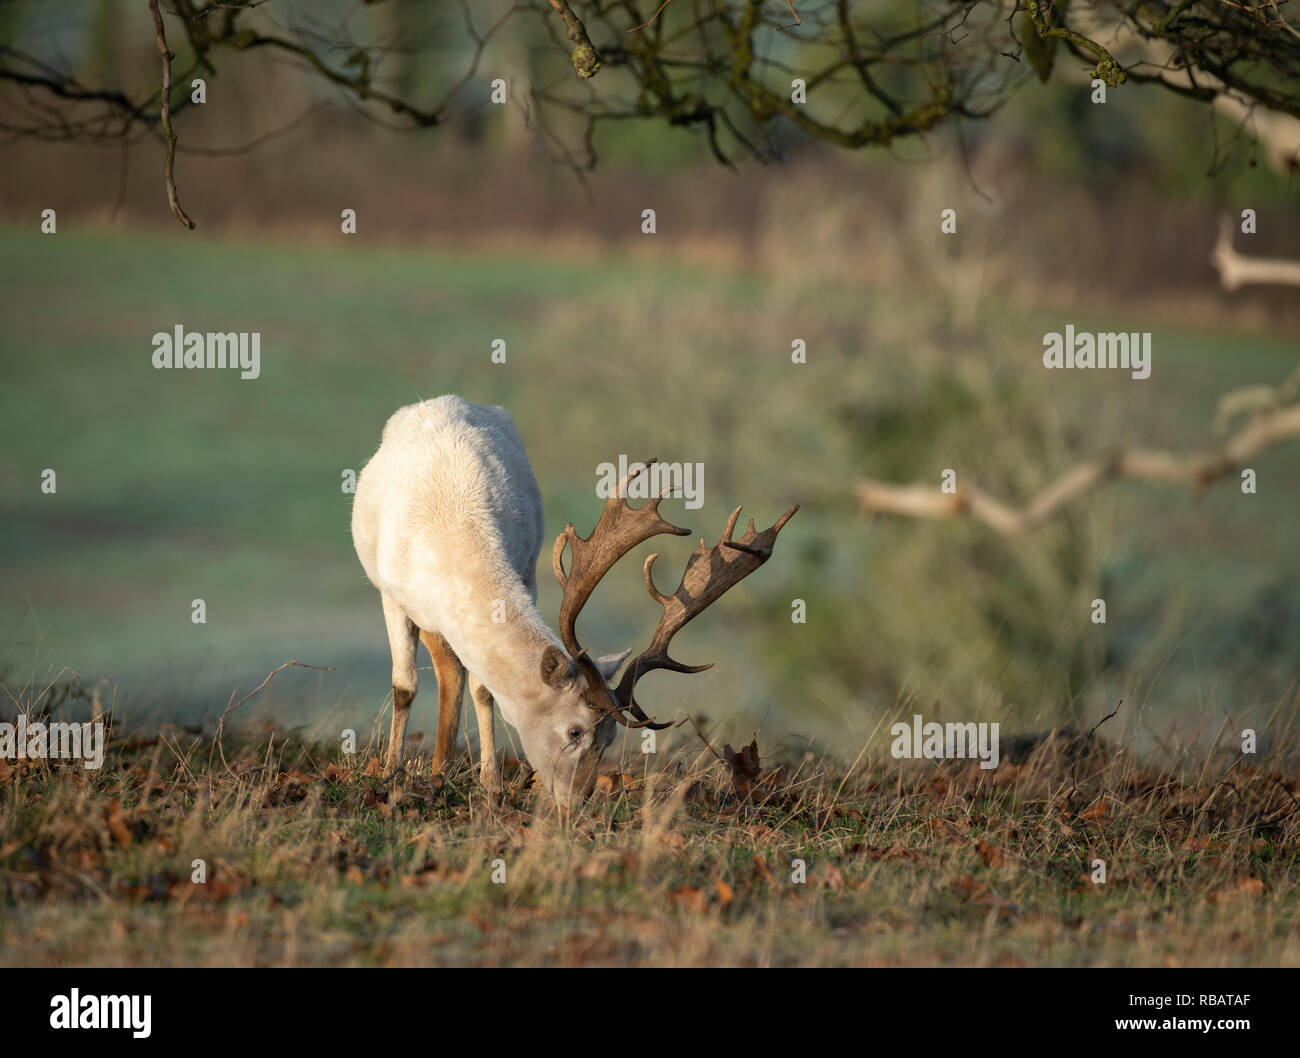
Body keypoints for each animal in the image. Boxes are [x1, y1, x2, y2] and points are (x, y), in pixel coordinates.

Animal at [350, 395, 797, 807]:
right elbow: (405, 685)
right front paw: (392, 779)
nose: (578, 801)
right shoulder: (391, 594)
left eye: (611, 735)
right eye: (574, 730)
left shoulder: (525, 573)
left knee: (456, 672)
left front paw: (490, 786)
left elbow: (482, 688)